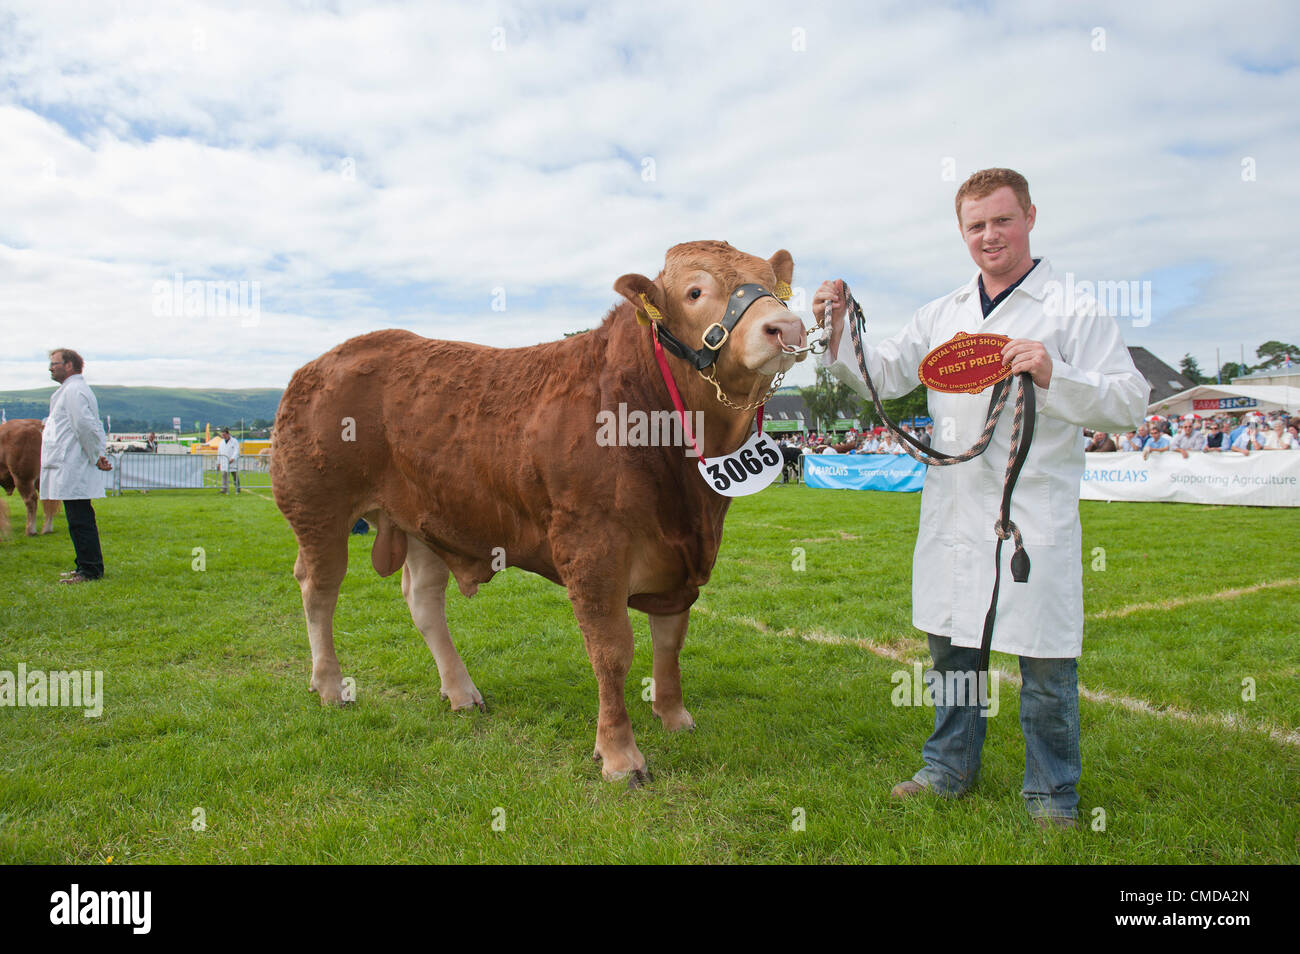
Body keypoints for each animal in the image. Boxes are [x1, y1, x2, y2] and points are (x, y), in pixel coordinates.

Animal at [271, 241, 808, 784]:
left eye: (776, 286)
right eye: (696, 291)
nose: (786, 326)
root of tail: (320, 363)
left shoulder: (681, 559)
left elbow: (670, 642)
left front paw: (674, 716)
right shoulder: (590, 549)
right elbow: (612, 651)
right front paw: (620, 755)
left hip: (424, 518)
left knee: (423, 602)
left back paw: (461, 692)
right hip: (317, 509)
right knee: (318, 590)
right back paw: (330, 685)